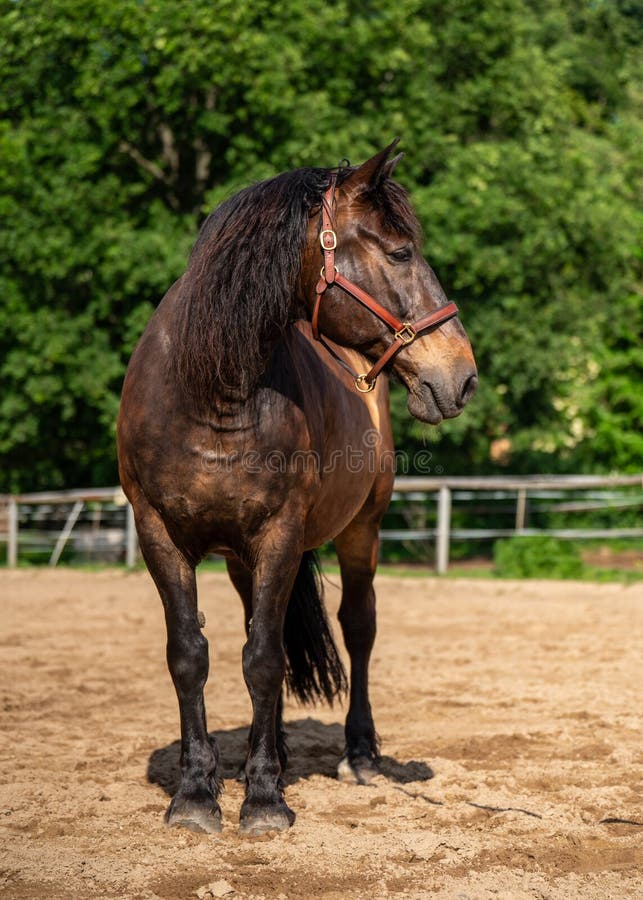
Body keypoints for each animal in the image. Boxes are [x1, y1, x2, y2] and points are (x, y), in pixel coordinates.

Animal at [117, 140, 477, 836]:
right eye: (401, 252)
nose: (463, 376)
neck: (211, 391)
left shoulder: (279, 534)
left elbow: (262, 658)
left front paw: (262, 800)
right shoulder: (159, 534)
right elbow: (191, 654)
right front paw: (197, 792)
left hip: (361, 529)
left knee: (357, 627)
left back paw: (358, 755)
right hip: (240, 558)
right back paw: (277, 752)